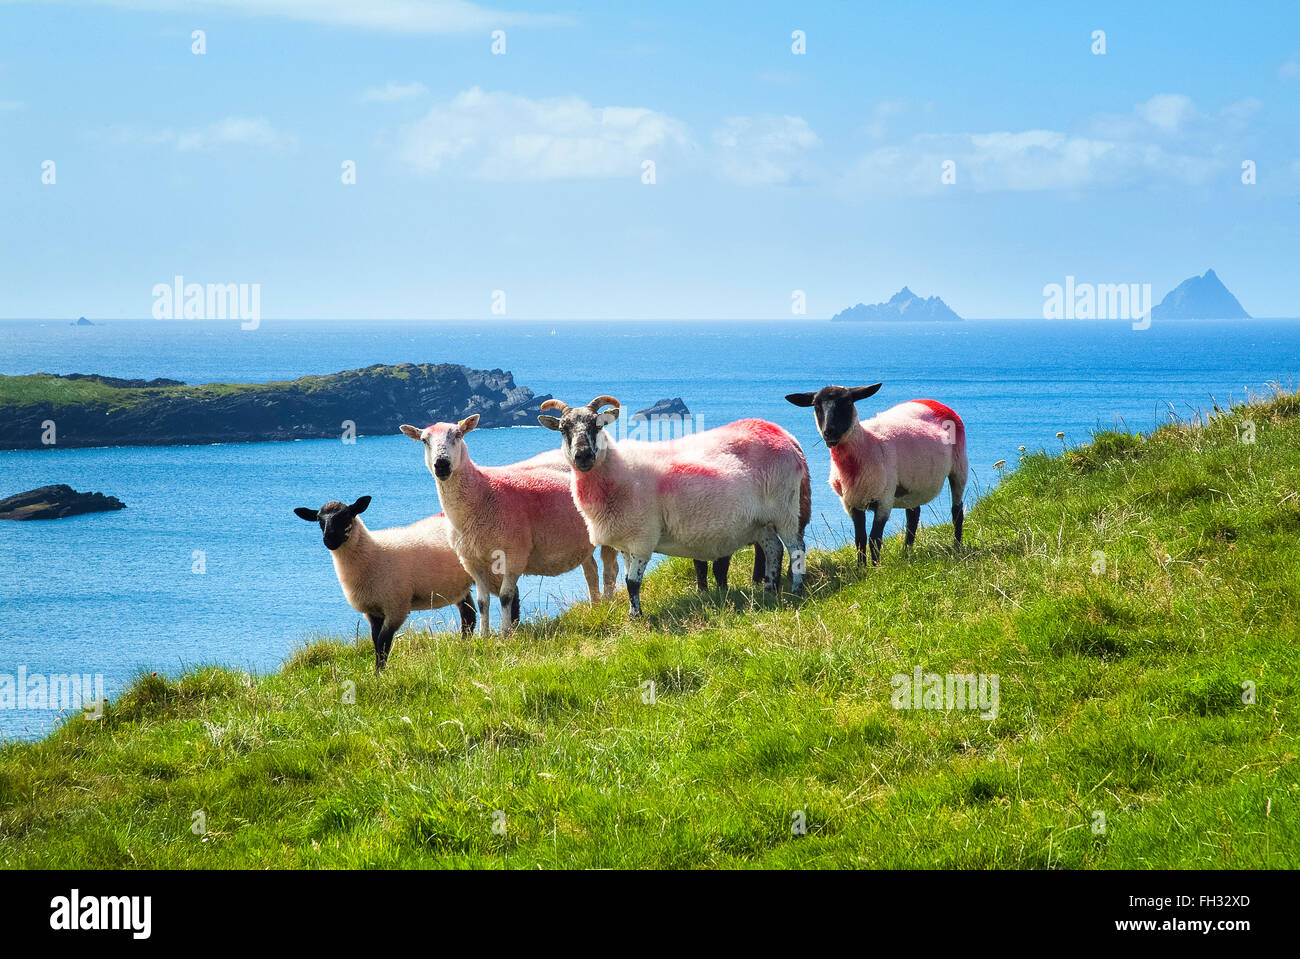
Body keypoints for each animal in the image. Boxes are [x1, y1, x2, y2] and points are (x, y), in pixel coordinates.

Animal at [293, 495, 475, 672]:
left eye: (346, 515)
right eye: (319, 519)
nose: (329, 540)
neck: (373, 552)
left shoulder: (396, 607)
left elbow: (383, 641)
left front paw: (380, 672)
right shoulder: (373, 611)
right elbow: (376, 642)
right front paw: (377, 671)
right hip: (460, 585)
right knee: (469, 616)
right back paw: (464, 645)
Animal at [399, 416, 618, 636]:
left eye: (458, 434)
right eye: (424, 440)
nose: (442, 464)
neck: (482, 493)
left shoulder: (514, 554)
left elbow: (506, 596)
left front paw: (506, 634)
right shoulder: (471, 561)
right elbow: (482, 602)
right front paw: (484, 636)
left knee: (610, 570)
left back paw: (607, 606)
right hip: (583, 541)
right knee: (591, 571)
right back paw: (595, 607)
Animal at [538, 396, 811, 618]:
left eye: (598, 425)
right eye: (563, 429)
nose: (583, 456)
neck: (616, 470)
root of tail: (784, 436)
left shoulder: (642, 536)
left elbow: (632, 582)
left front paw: (636, 618)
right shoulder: (625, 540)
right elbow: (626, 579)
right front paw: (632, 612)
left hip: (786, 508)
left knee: (796, 548)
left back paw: (796, 588)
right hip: (761, 521)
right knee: (774, 548)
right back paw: (769, 588)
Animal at [784, 384, 967, 565]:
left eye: (848, 403)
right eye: (816, 406)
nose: (829, 432)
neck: (867, 443)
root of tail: (933, 402)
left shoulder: (884, 499)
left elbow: (875, 538)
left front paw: (875, 567)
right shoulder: (851, 502)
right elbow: (860, 539)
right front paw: (861, 568)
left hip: (959, 467)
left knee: (957, 511)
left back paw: (957, 547)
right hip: (911, 485)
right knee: (913, 516)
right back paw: (906, 553)